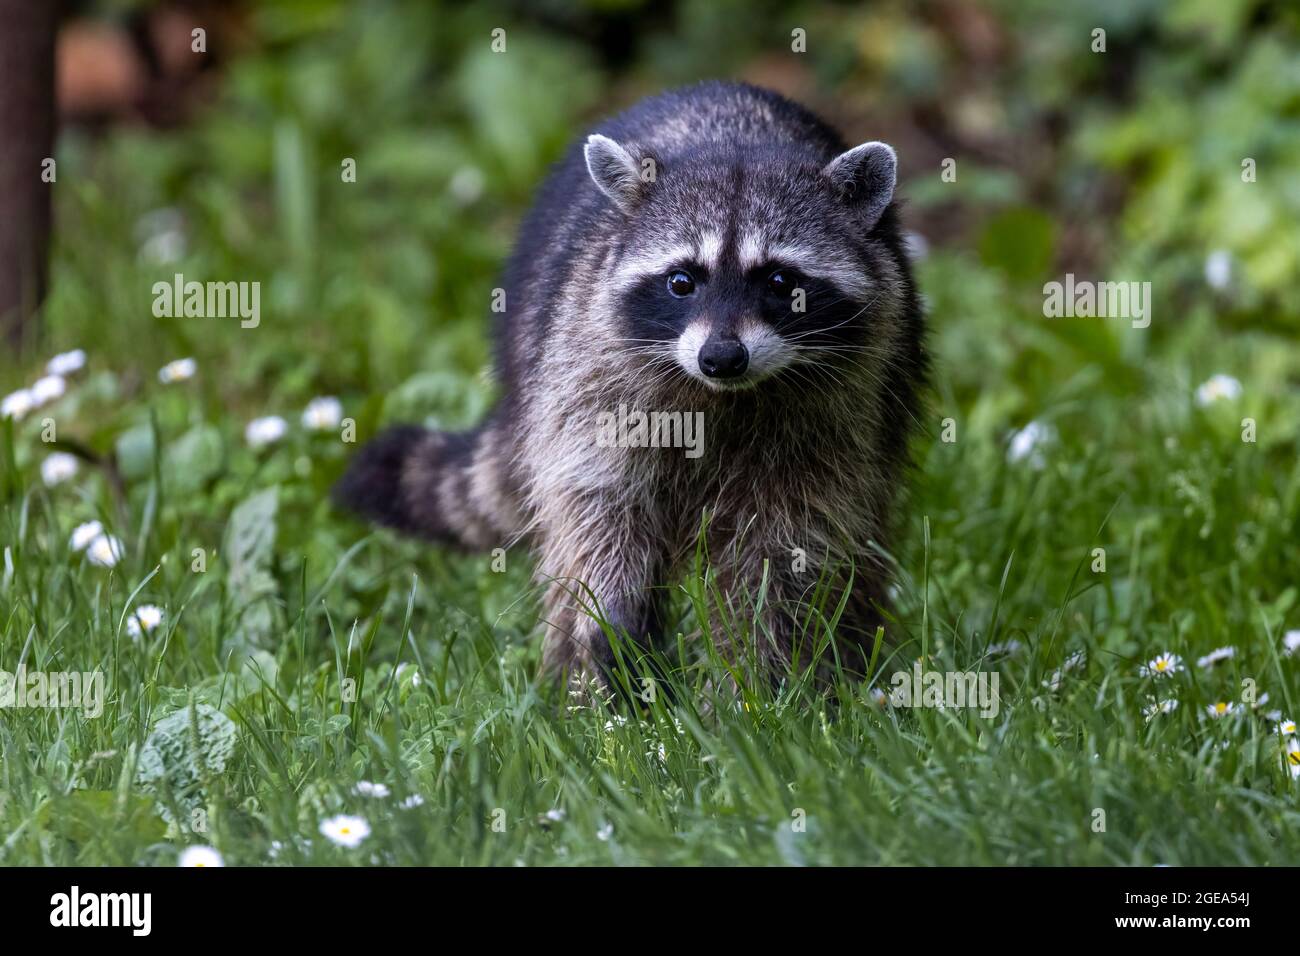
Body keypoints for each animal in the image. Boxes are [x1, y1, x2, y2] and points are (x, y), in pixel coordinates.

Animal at [336, 81, 926, 692]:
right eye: (682, 281)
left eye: (781, 281)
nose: (721, 358)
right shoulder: (588, 375)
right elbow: (598, 513)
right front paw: (610, 636)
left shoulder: (844, 408)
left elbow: (790, 544)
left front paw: (756, 676)